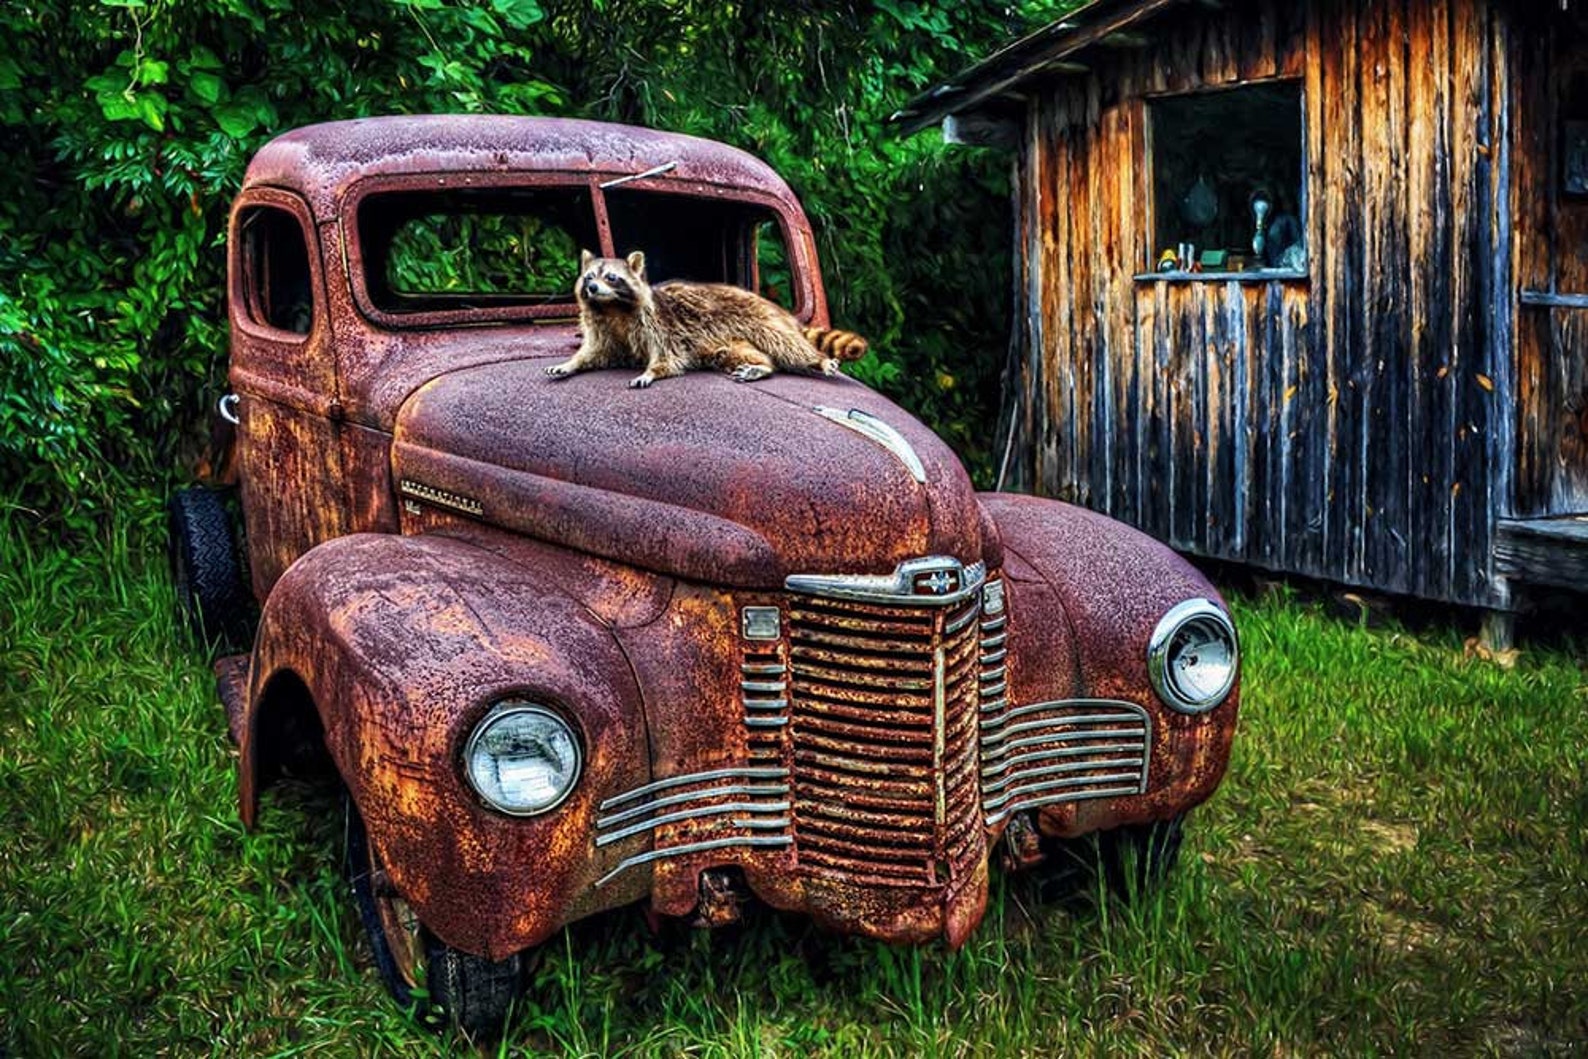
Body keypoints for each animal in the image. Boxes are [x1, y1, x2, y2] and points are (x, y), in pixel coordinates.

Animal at [544, 250, 869, 388]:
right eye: (589, 277)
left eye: (611, 277)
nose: (592, 288)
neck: (612, 307)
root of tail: (776, 307)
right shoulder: (601, 328)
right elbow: (595, 353)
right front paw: (570, 363)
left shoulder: (660, 325)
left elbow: (669, 357)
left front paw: (651, 372)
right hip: (729, 340)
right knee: (736, 352)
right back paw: (761, 365)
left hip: (760, 321)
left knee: (788, 346)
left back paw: (816, 360)